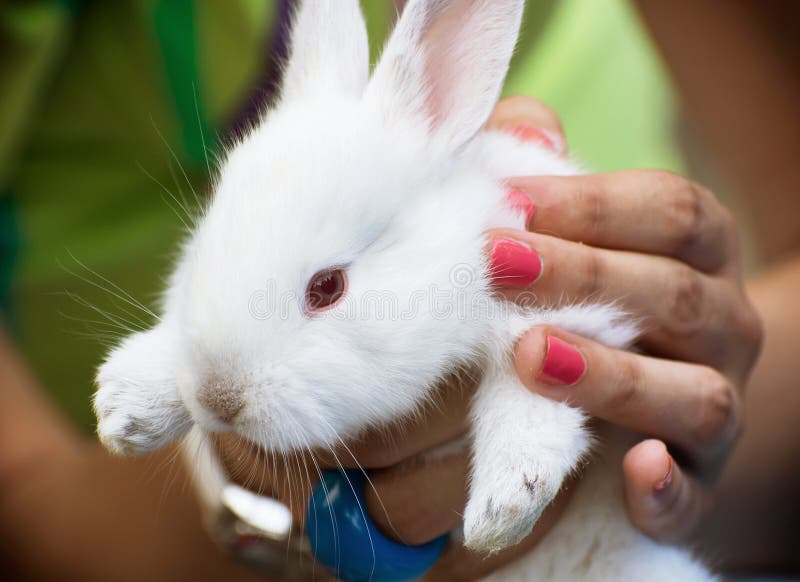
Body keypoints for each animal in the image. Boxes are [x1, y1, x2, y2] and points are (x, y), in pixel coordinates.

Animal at [93, 0, 715, 579]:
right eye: (208, 241)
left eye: (328, 287)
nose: (221, 399)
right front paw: (125, 410)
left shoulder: (564, 322)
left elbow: (532, 396)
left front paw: (503, 509)